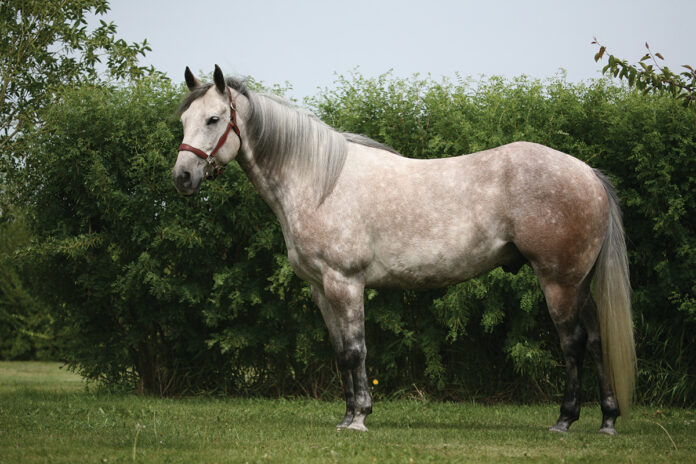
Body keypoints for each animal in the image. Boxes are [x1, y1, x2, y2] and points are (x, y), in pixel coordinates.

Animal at [172, 65, 635, 434]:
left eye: (214, 119)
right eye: (183, 120)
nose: (182, 177)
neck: (320, 182)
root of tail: (587, 173)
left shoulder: (345, 283)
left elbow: (356, 349)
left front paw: (359, 418)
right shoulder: (321, 289)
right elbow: (341, 353)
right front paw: (347, 415)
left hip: (559, 282)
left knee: (573, 343)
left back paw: (565, 420)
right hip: (579, 283)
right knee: (596, 339)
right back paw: (607, 420)